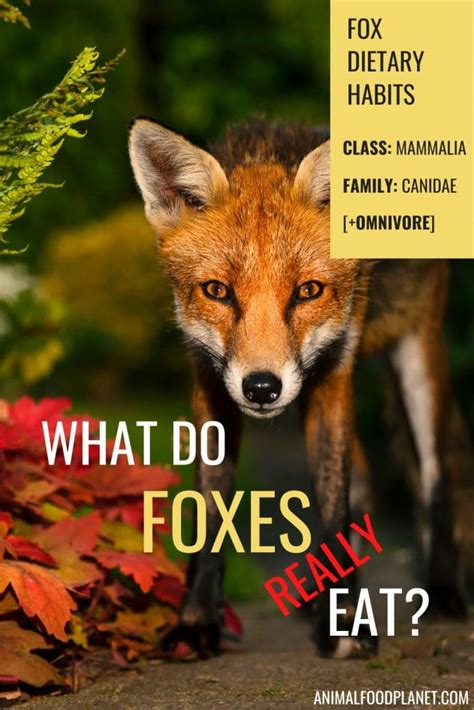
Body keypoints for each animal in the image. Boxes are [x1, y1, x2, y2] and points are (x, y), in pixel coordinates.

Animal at [128, 117, 469, 659]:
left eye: (308, 291)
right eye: (217, 292)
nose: (261, 387)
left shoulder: (334, 376)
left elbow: (332, 505)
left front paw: (345, 623)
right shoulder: (210, 383)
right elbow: (210, 510)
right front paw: (197, 620)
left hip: (418, 354)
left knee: (437, 478)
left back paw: (443, 591)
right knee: (368, 482)